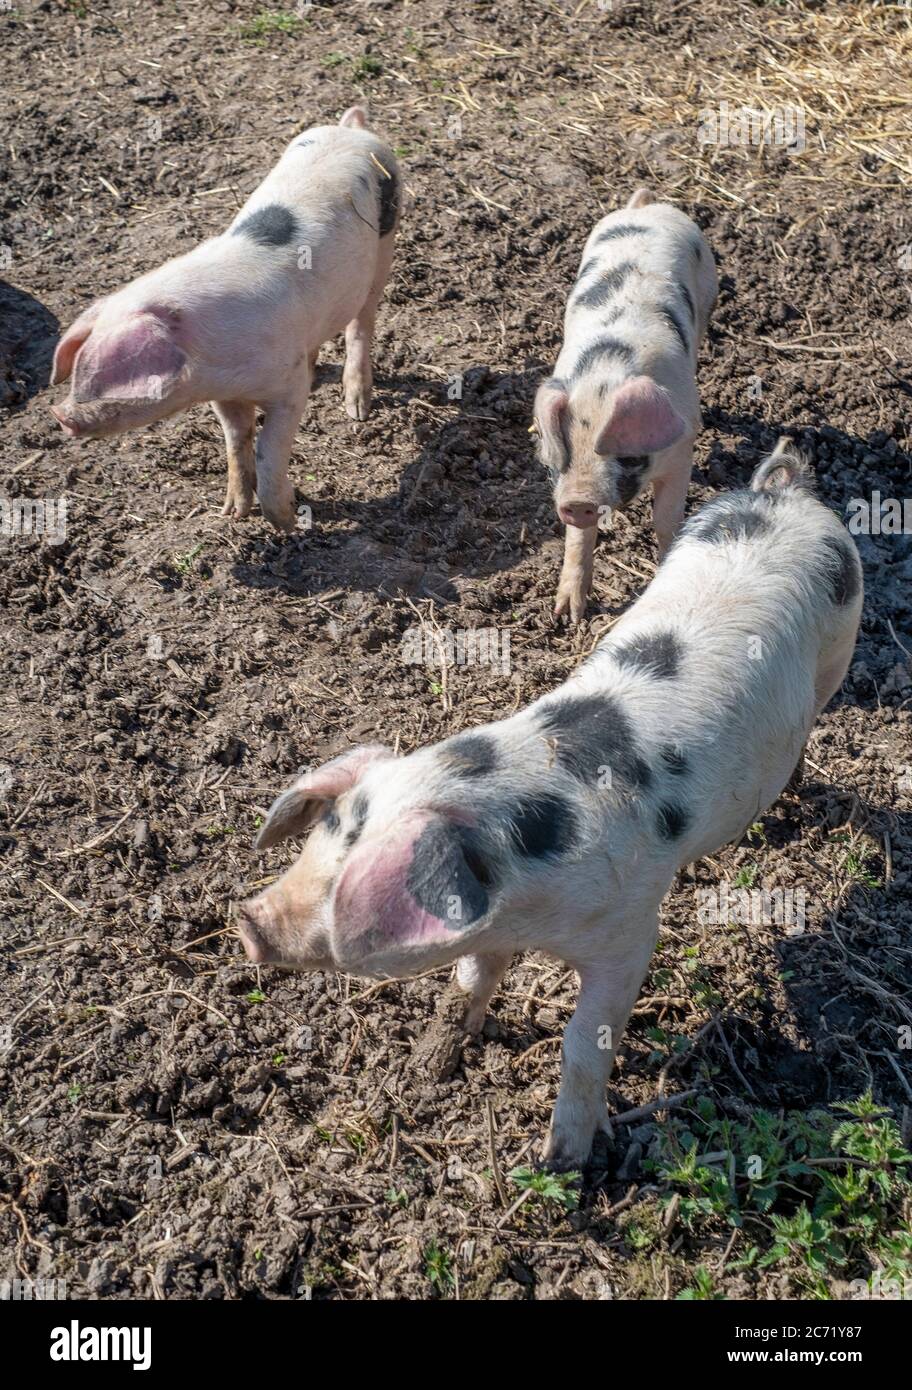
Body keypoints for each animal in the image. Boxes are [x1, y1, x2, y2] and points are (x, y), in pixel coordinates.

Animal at [50, 106, 401, 533]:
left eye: (107, 370)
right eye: (81, 365)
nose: (59, 414)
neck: (215, 368)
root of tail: (352, 129)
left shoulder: (286, 391)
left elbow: (269, 448)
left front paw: (287, 523)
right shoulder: (224, 396)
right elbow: (236, 439)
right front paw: (232, 512)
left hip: (386, 242)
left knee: (361, 324)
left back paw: (357, 409)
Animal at [238, 441, 862, 1169]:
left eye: (353, 892)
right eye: (325, 833)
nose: (248, 920)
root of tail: (782, 493)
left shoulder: (629, 932)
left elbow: (584, 1041)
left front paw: (560, 1161)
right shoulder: (490, 927)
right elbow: (470, 980)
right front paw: (430, 1063)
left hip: (840, 648)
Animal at [534, 188, 718, 622]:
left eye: (625, 452)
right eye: (565, 448)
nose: (578, 500)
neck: (607, 368)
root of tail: (646, 207)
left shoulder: (681, 450)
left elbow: (667, 519)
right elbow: (577, 538)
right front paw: (567, 615)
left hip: (709, 287)